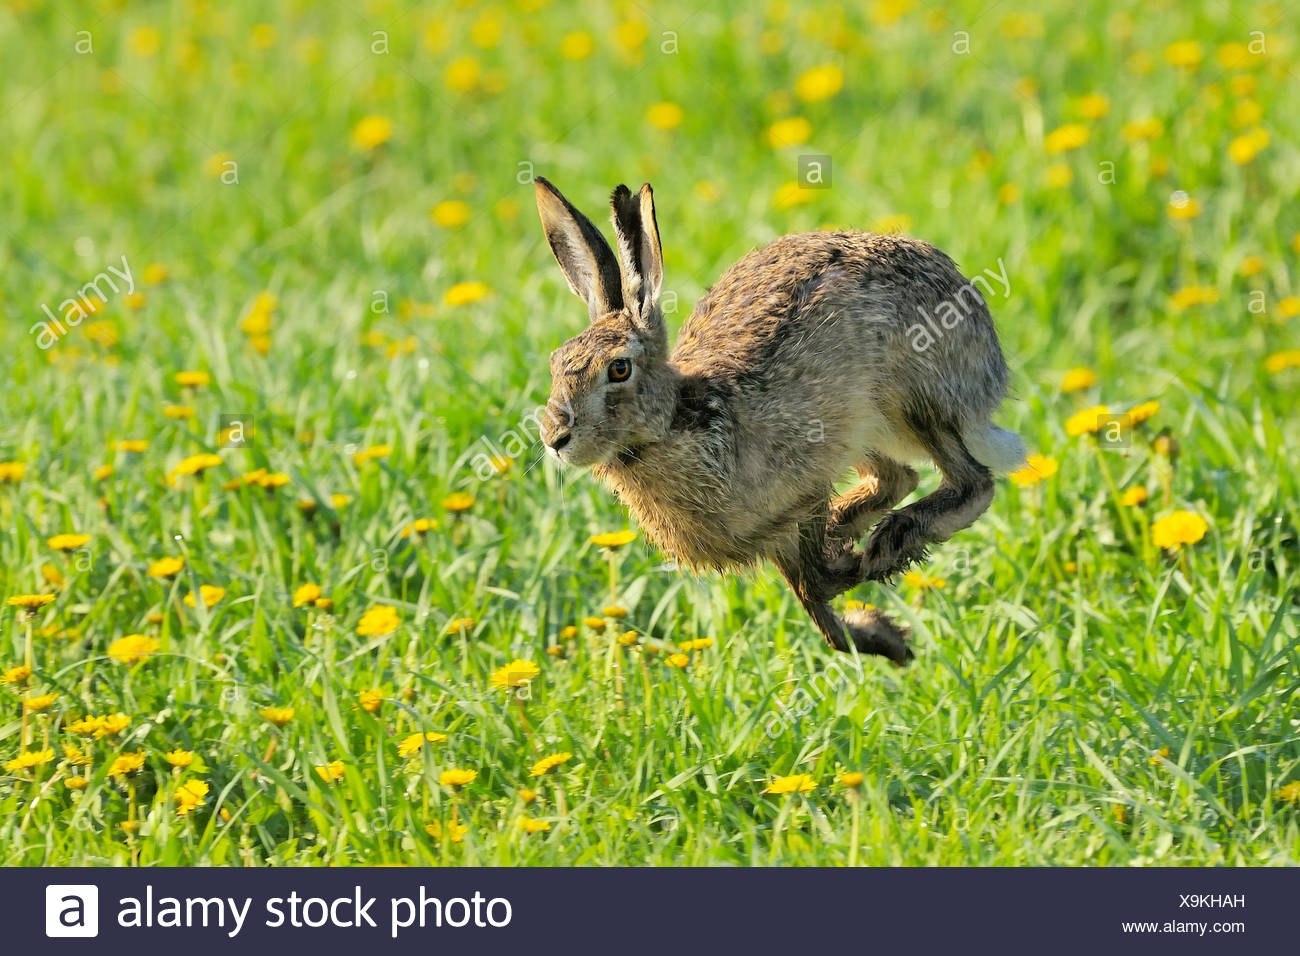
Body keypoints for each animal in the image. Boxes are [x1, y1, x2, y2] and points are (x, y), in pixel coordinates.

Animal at [533, 177, 1024, 664]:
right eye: (555, 363)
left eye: (619, 369)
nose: (556, 437)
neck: (678, 421)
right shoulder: (776, 534)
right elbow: (817, 606)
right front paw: (886, 636)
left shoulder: (805, 494)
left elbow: (817, 583)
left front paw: (869, 576)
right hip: (865, 429)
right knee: (898, 477)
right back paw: (857, 531)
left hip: (913, 399)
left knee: (973, 482)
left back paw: (893, 536)